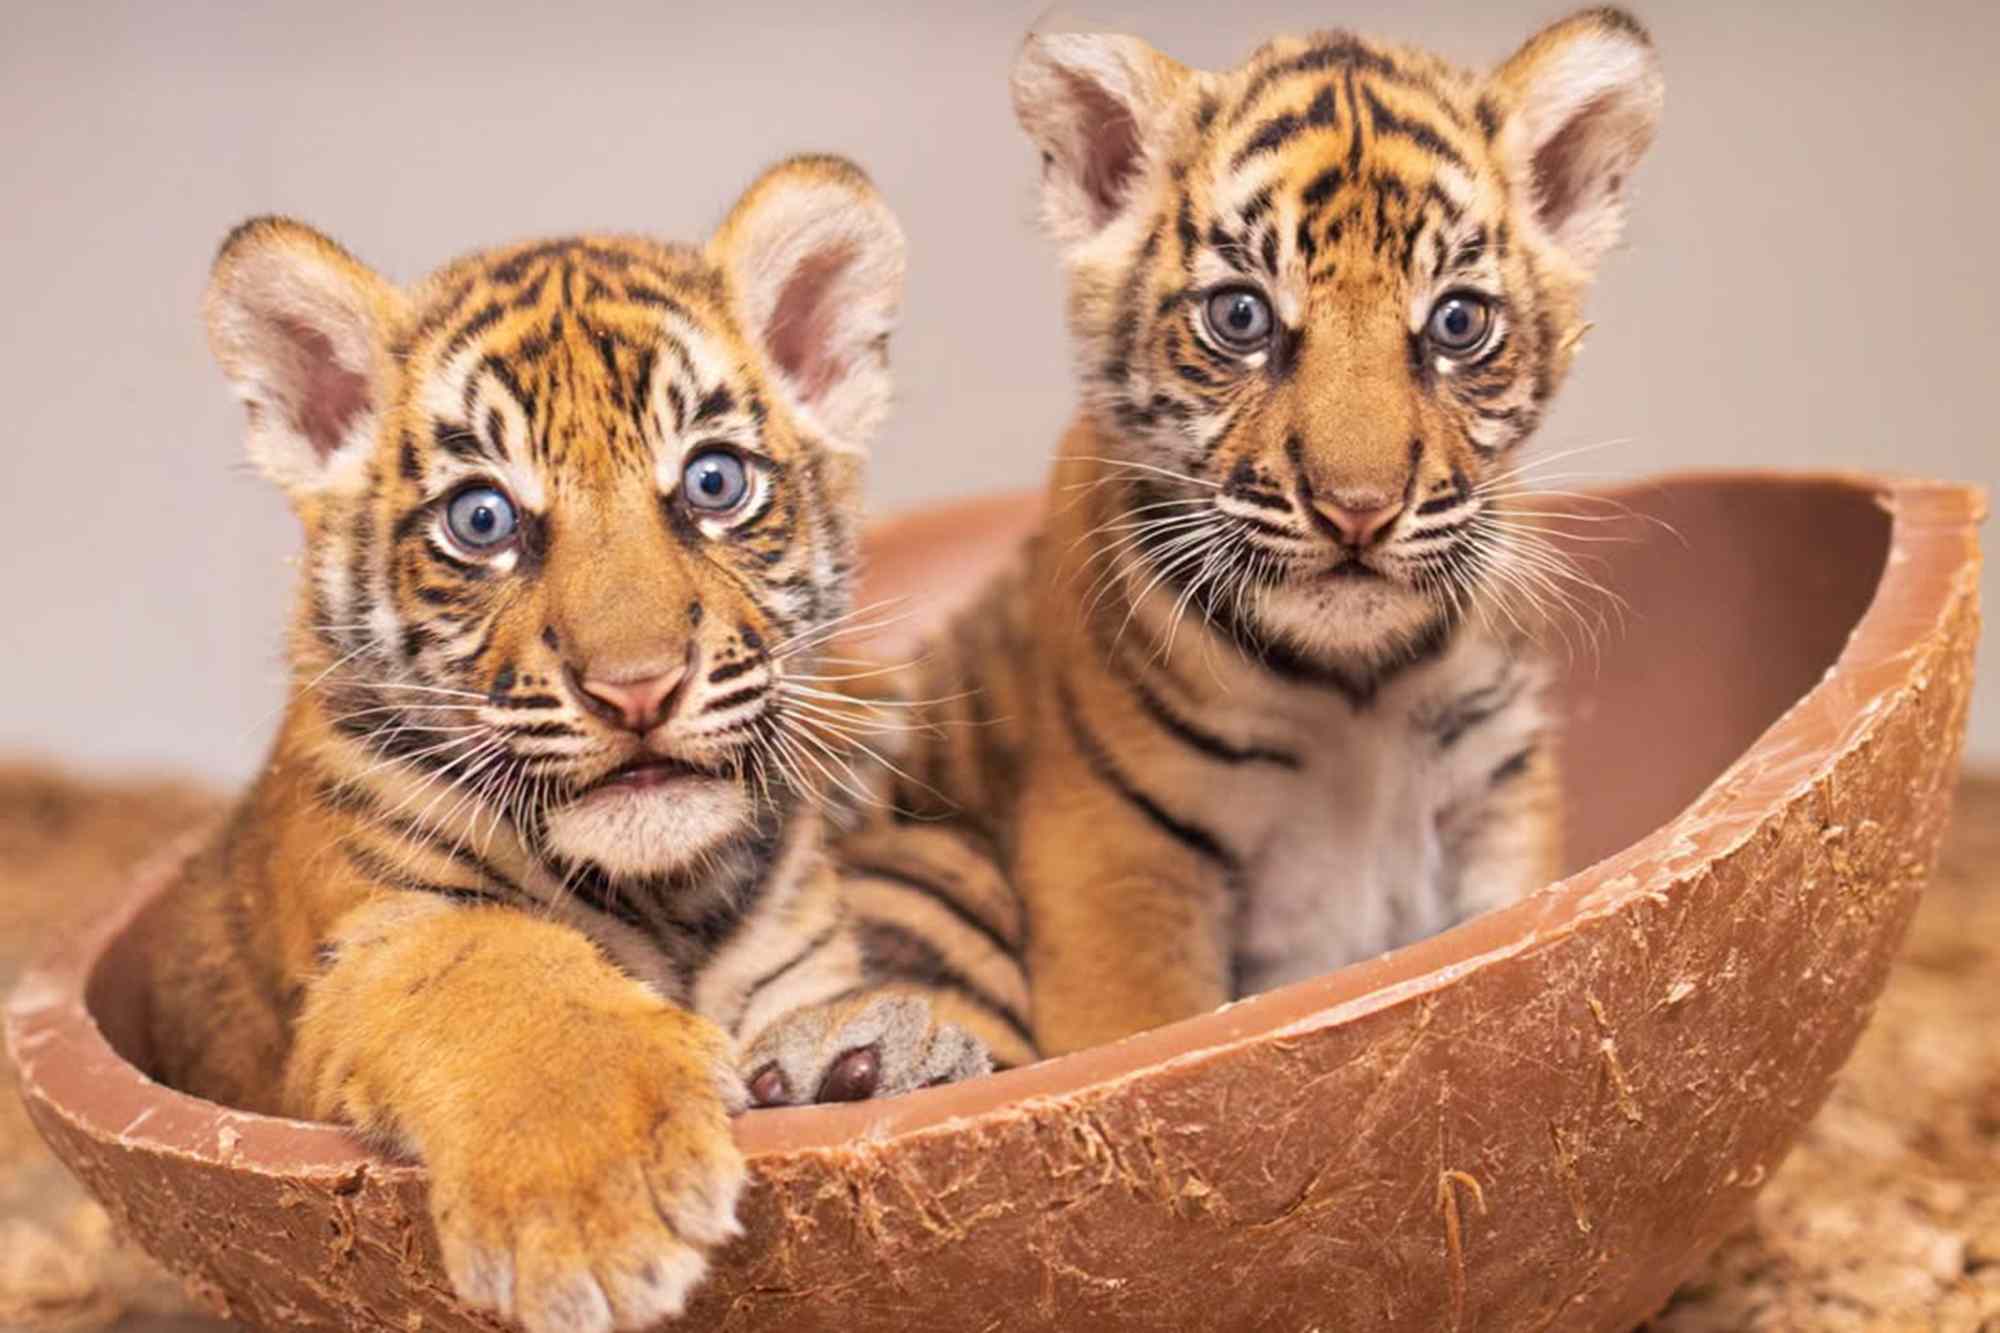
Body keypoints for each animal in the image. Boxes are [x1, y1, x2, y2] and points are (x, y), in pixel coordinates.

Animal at [142, 155, 991, 1333]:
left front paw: (859, 1060)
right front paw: (595, 1198)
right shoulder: (376, 939)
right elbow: (495, 970)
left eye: (714, 482)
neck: (672, 898)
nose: (636, 687)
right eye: (483, 519)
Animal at [847, 9, 1664, 1059]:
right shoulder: (1118, 857)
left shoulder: (1497, 797)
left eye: (1457, 321)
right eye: (1240, 316)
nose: (1357, 507)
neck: (1359, 687)